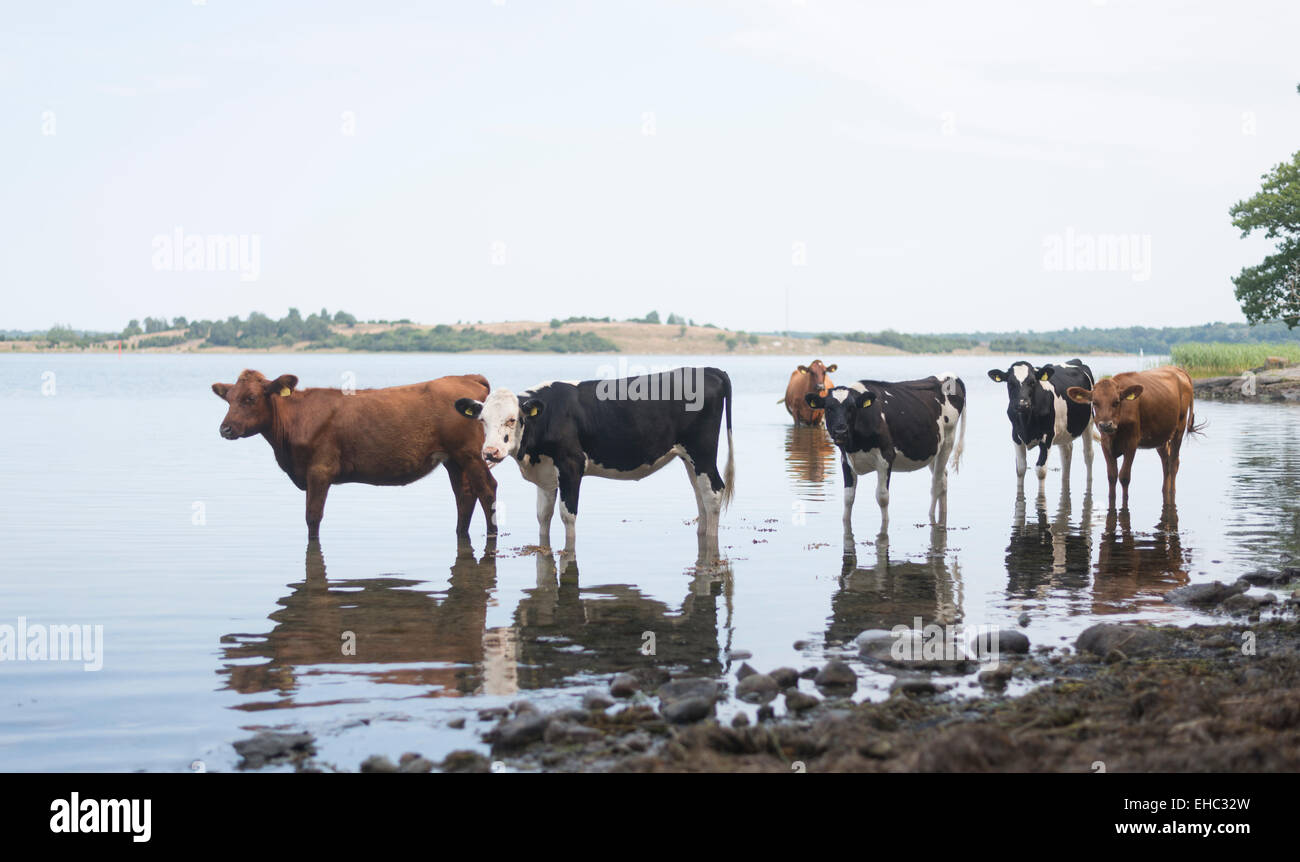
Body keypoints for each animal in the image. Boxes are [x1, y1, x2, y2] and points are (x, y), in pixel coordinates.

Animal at [212, 369, 497, 541]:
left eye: (250, 398)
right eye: (229, 399)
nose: (225, 429)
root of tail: (467, 377)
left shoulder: (320, 470)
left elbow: (312, 517)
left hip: (471, 453)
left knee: (487, 489)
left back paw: (493, 534)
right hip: (454, 459)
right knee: (465, 494)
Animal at [454, 367, 734, 552]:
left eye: (512, 419)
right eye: (482, 420)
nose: (490, 452)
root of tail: (705, 370)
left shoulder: (571, 465)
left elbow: (567, 515)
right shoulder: (546, 474)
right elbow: (543, 516)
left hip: (702, 452)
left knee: (714, 493)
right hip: (689, 457)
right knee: (700, 493)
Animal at [805, 374, 967, 537]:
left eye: (851, 408)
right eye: (829, 408)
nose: (840, 432)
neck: (856, 445)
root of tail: (949, 376)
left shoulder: (886, 457)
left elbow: (882, 497)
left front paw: (884, 526)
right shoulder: (846, 459)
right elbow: (848, 497)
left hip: (948, 440)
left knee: (936, 483)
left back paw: (931, 516)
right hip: (933, 449)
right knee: (943, 478)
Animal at [987, 359, 1095, 492]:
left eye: (1032, 382)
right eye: (1010, 383)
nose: (1022, 404)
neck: (1026, 422)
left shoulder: (1047, 436)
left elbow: (1041, 470)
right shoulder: (1016, 436)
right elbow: (1020, 468)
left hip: (1089, 423)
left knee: (1088, 455)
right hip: (1063, 431)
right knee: (1066, 453)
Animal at [1065, 366, 1199, 508]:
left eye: (1116, 402)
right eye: (1095, 402)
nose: (1106, 425)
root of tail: (1176, 369)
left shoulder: (1131, 443)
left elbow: (1124, 476)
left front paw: (1125, 501)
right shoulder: (1105, 444)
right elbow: (1112, 476)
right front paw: (1112, 498)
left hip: (1179, 428)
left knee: (1173, 463)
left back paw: (1172, 492)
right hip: (1161, 435)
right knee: (1166, 461)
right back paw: (1164, 490)